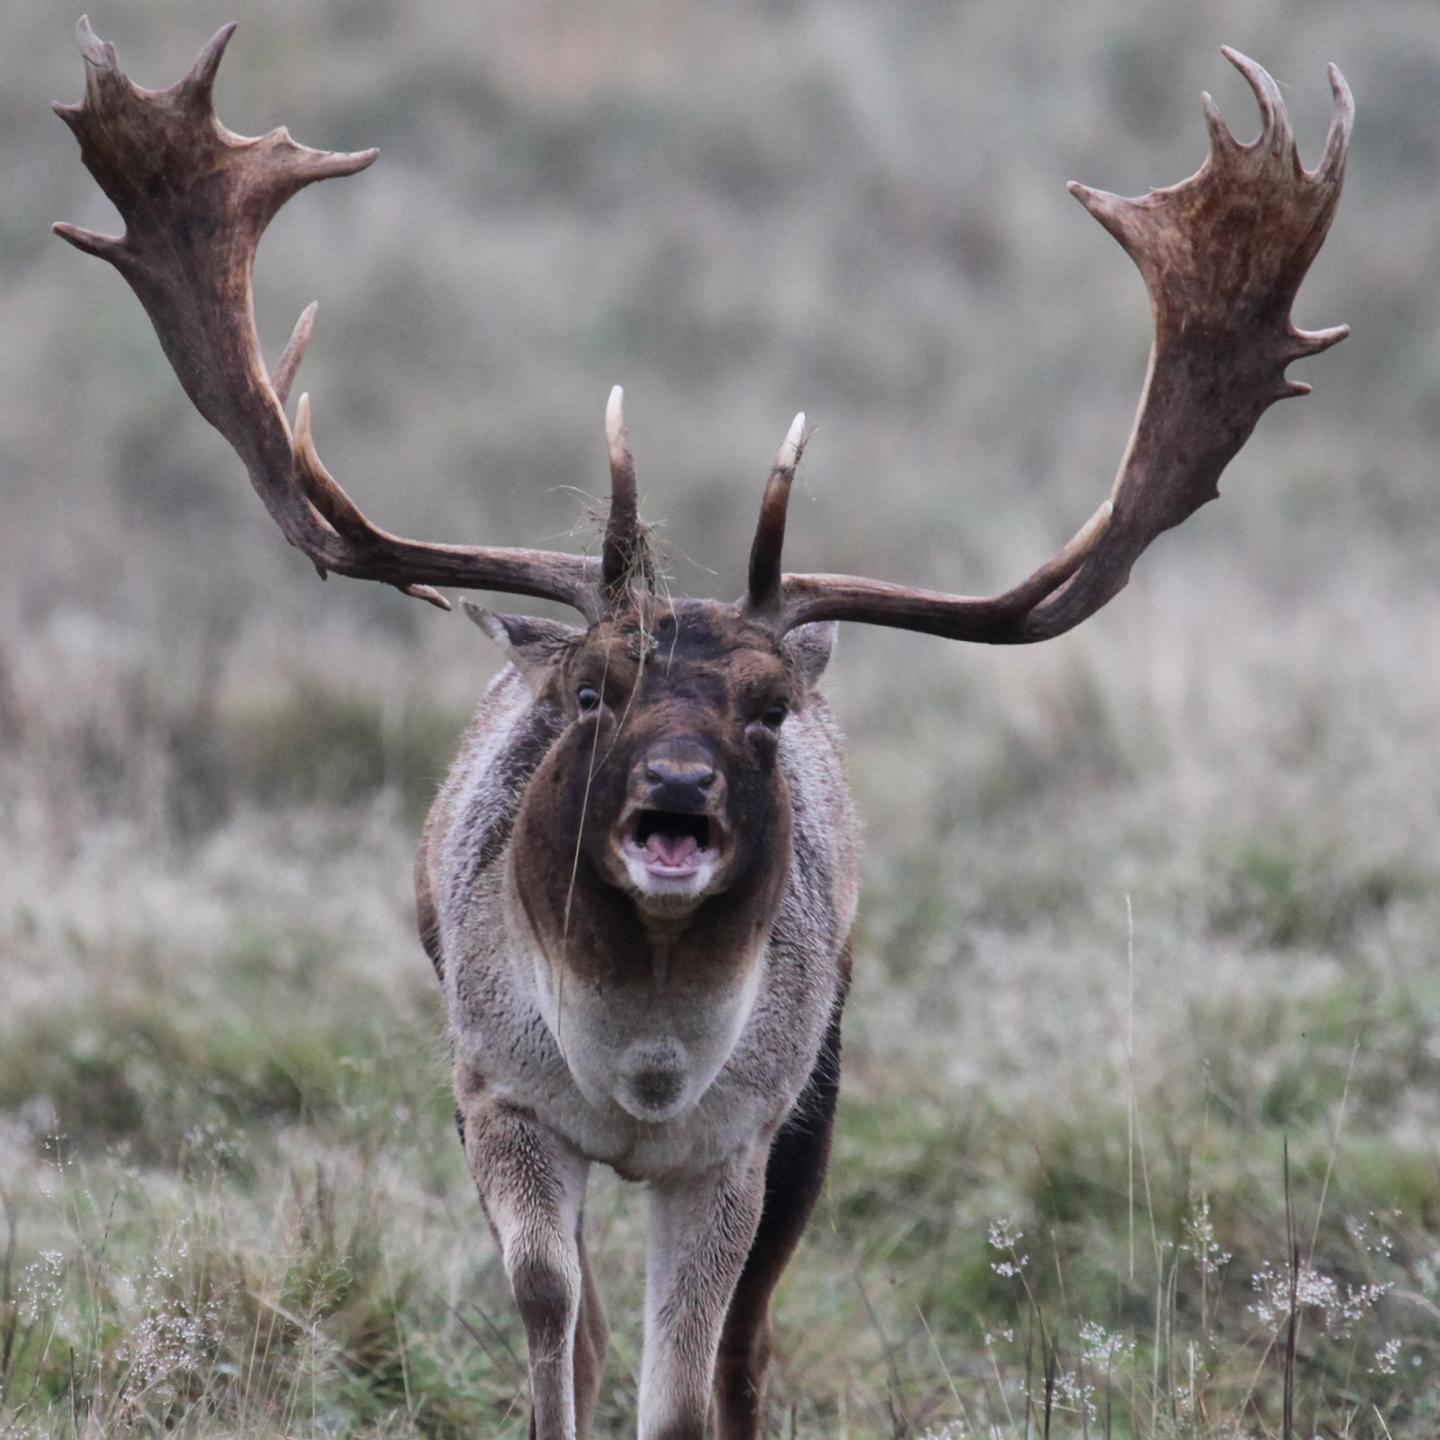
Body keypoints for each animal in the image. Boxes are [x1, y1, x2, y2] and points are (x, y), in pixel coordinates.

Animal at [53, 17, 1352, 1439]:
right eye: (591, 690)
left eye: (767, 710)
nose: (678, 789)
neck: (642, 1066)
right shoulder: (494, 1093)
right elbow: (555, 1318)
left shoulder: (740, 1138)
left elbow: (691, 1377)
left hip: (824, 1080)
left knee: (753, 1335)